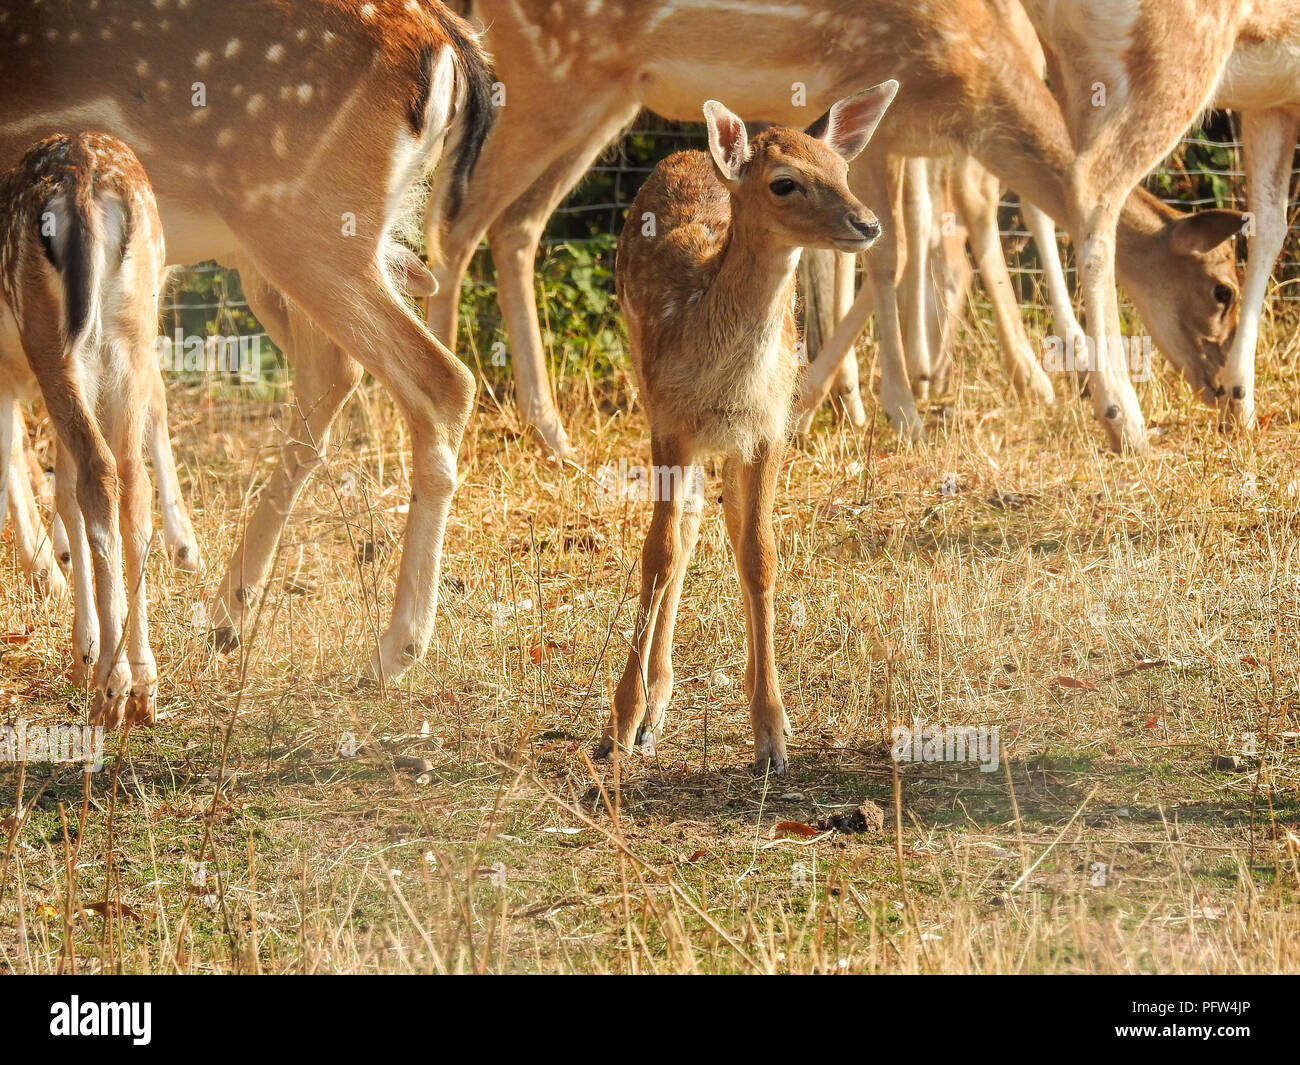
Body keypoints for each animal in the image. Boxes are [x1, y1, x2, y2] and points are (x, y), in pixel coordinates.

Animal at [0, 0, 493, 688]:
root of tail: (449, 36)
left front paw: (50, 577)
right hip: (297, 246)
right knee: (333, 372)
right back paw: (225, 615)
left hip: (305, 221)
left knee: (439, 379)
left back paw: (394, 649)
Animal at [425, 0, 1241, 460]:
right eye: (1221, 290)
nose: (1228, 395)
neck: (972, 79)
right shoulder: (879, 105)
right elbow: (895, 254)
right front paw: (901, 411)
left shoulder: (892, 141)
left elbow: (885, 250)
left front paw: (825, 398)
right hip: (546, 78)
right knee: (455, 219)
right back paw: (438, 427)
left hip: (605, 100)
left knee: (517, 226)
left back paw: (551, 434)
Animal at [596, 83, 898, 773]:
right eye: (785, 183)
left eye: (842, 170)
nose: (867, 224)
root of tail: (688, 152)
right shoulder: (670, 421)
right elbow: (657, 554)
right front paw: (617, 725)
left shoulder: (769, 427)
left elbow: (759, 553)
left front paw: (773, 736)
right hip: (652, 401)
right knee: (683, 529)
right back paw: (649, 711)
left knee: (718, 521)